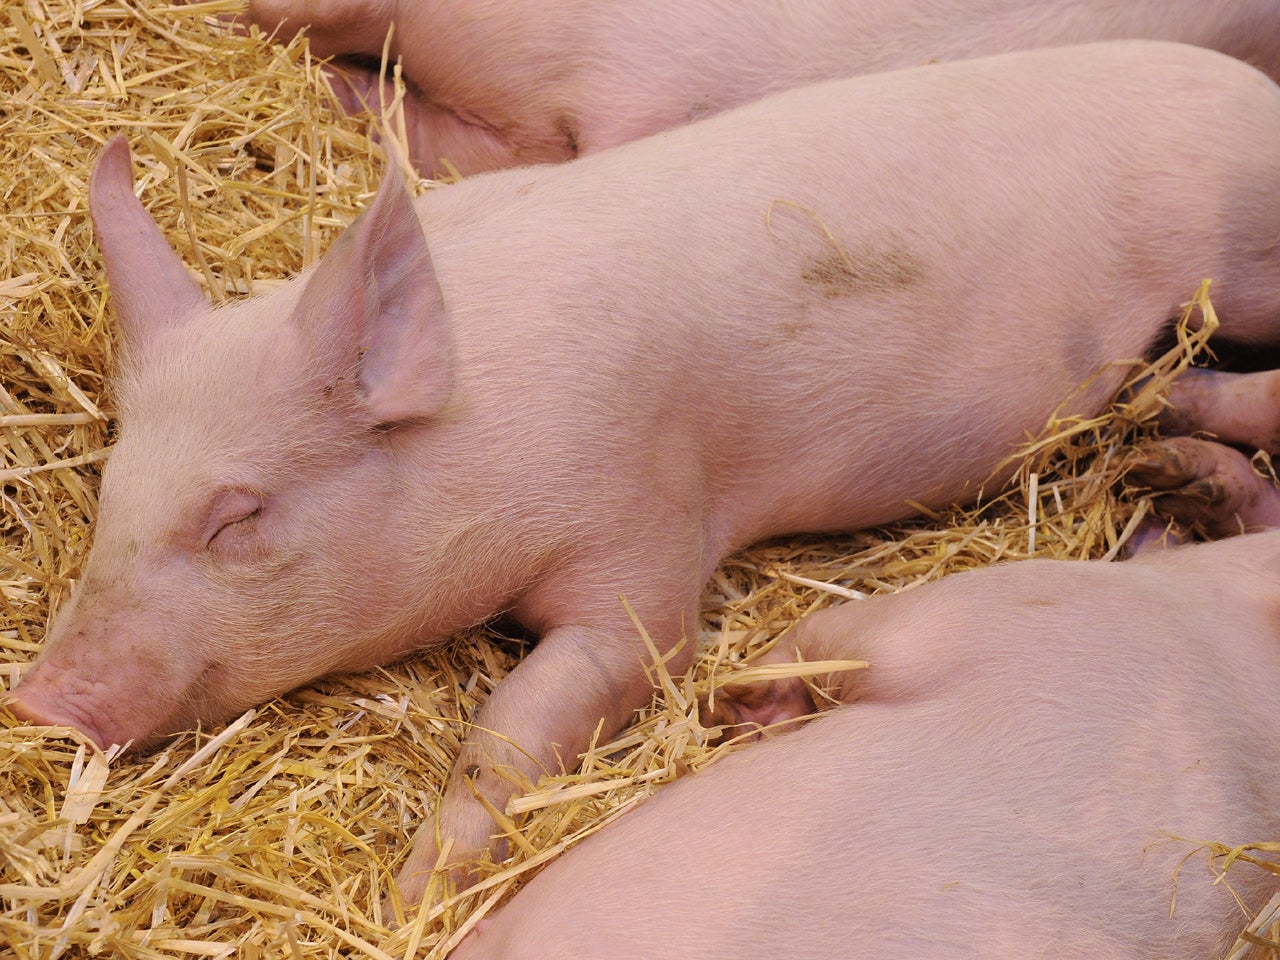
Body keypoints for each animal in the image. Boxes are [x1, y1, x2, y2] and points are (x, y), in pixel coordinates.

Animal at [9, 41, 1280, 907]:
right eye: (112, 493)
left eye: (238, 516)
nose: (41, 698)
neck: (484, 426)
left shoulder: (641, 529)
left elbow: (538, 712)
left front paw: (417, 888)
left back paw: (1165, 415)